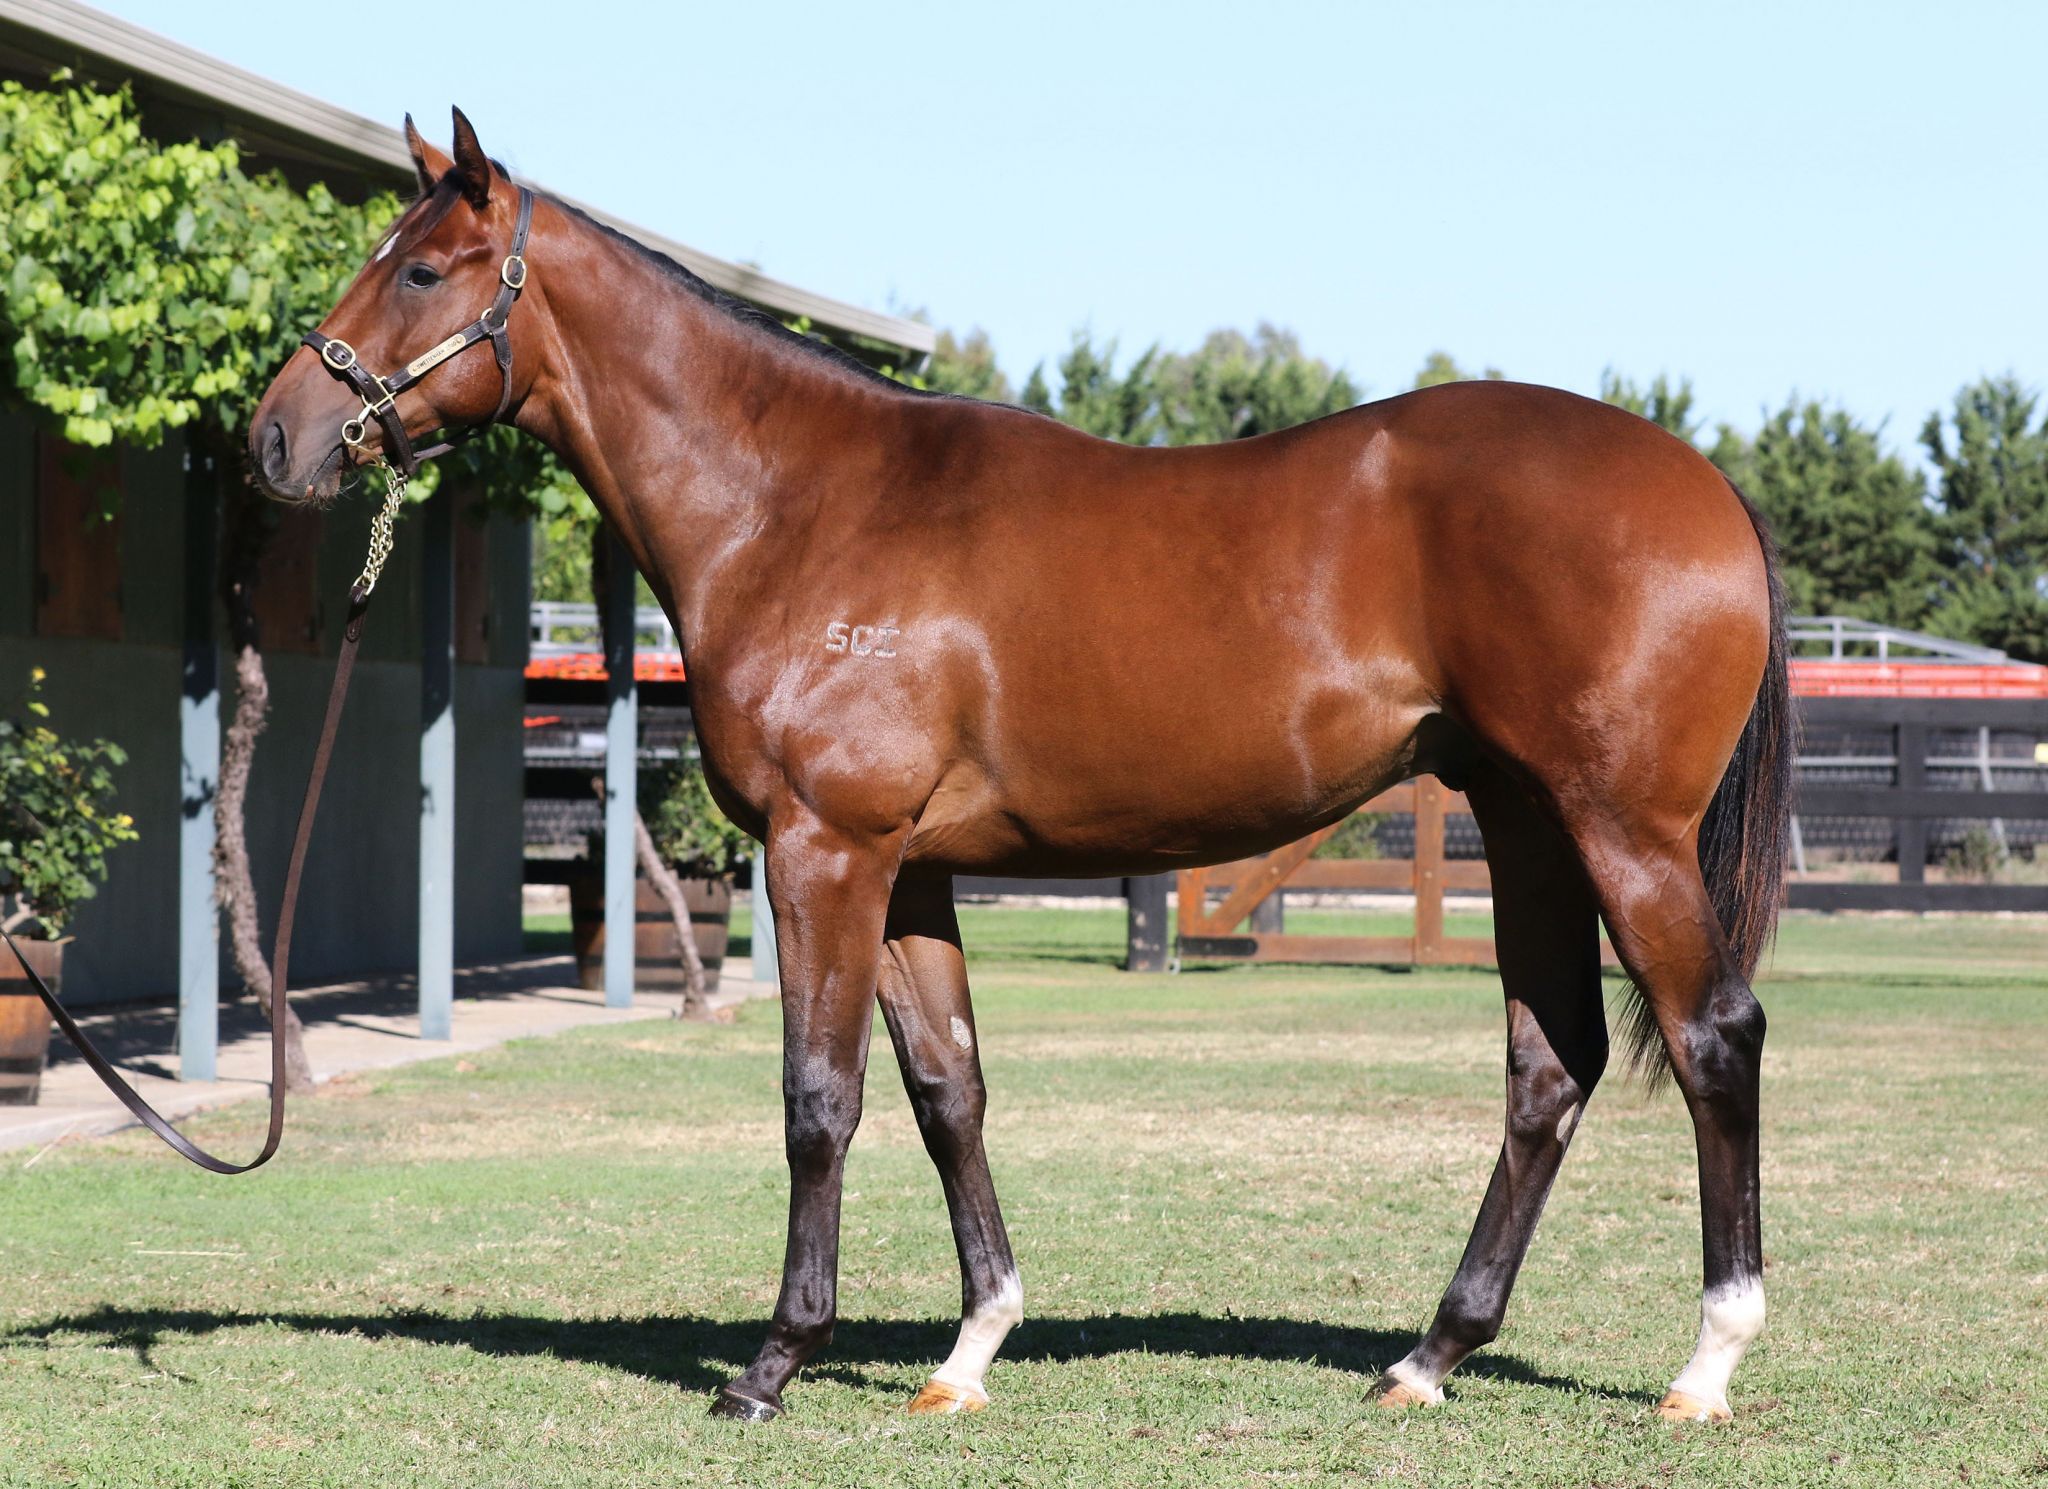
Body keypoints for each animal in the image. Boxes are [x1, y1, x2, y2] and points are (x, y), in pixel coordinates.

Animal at [250, 110, 1791, 1427]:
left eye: (423, 268)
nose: (276, 437)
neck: (799, 505)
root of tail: (1707, 485)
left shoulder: (824, 852)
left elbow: (819, 1101)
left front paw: (773, 1363)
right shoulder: (908, 872)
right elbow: (948, 1090)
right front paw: (970, 1347)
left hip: (1619, 829)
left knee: (1713, 1038)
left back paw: (1706, 1361)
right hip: (1526, 823)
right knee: (1551, 1064)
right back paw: (1428, 1354)